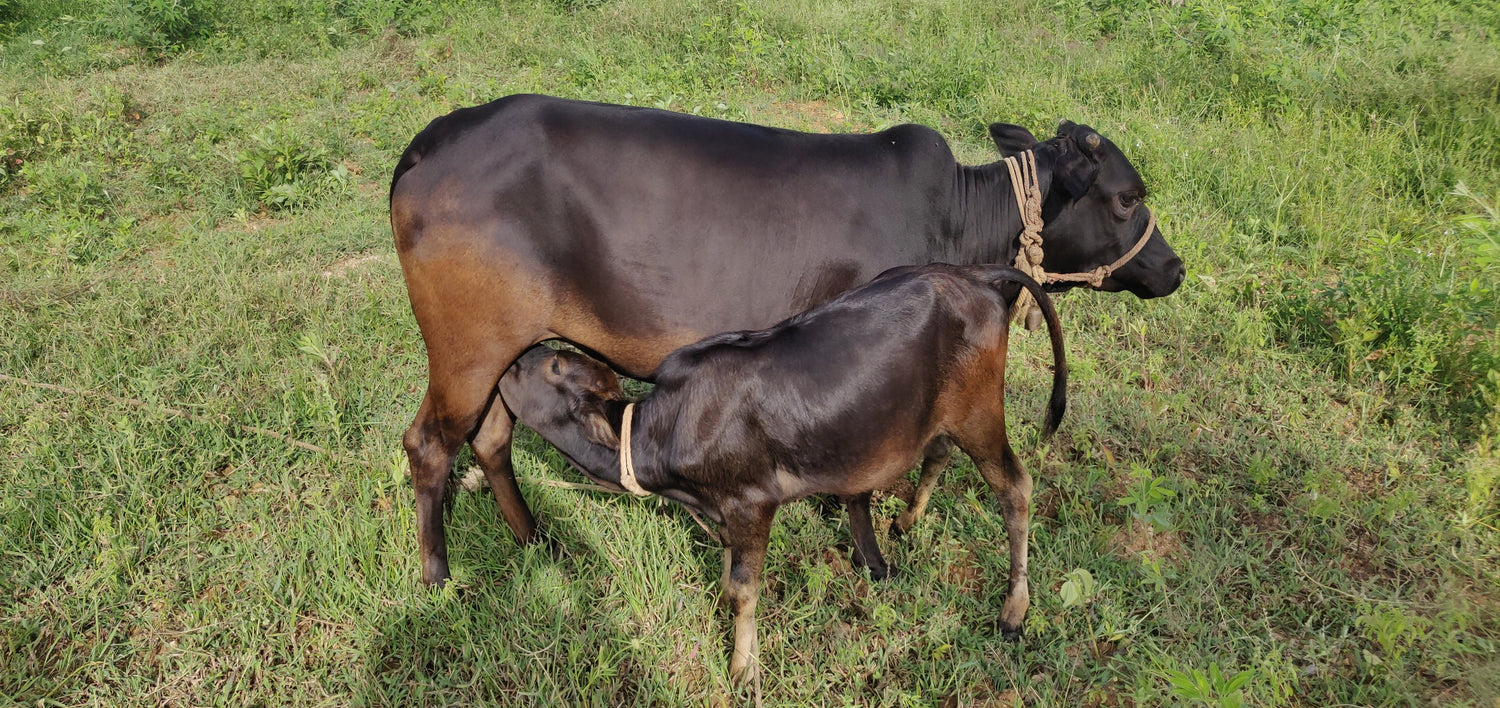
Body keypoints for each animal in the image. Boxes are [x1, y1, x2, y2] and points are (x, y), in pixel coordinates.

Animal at [390, 94, 1184, 586]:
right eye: (1127, 198)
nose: (1174, 268)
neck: (962, 221)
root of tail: (431, 139)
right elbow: (869, 480)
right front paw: (875, 560)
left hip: (503, 350)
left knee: (491, 438)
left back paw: (535, 539)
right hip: (467, 346)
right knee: (430, 444)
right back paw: (438, 579)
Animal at [495, 263, 1067, 682]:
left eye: (554, 367)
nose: (513, 361)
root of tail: (976, 275)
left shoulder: (751, 503)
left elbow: (744, 590)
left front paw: (742, 669)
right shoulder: (727, 511)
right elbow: (730, 576)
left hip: (980, 413)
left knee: (1014, 488)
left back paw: (1013, 611)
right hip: (940, 414)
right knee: (939, 453)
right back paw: (907, 521)